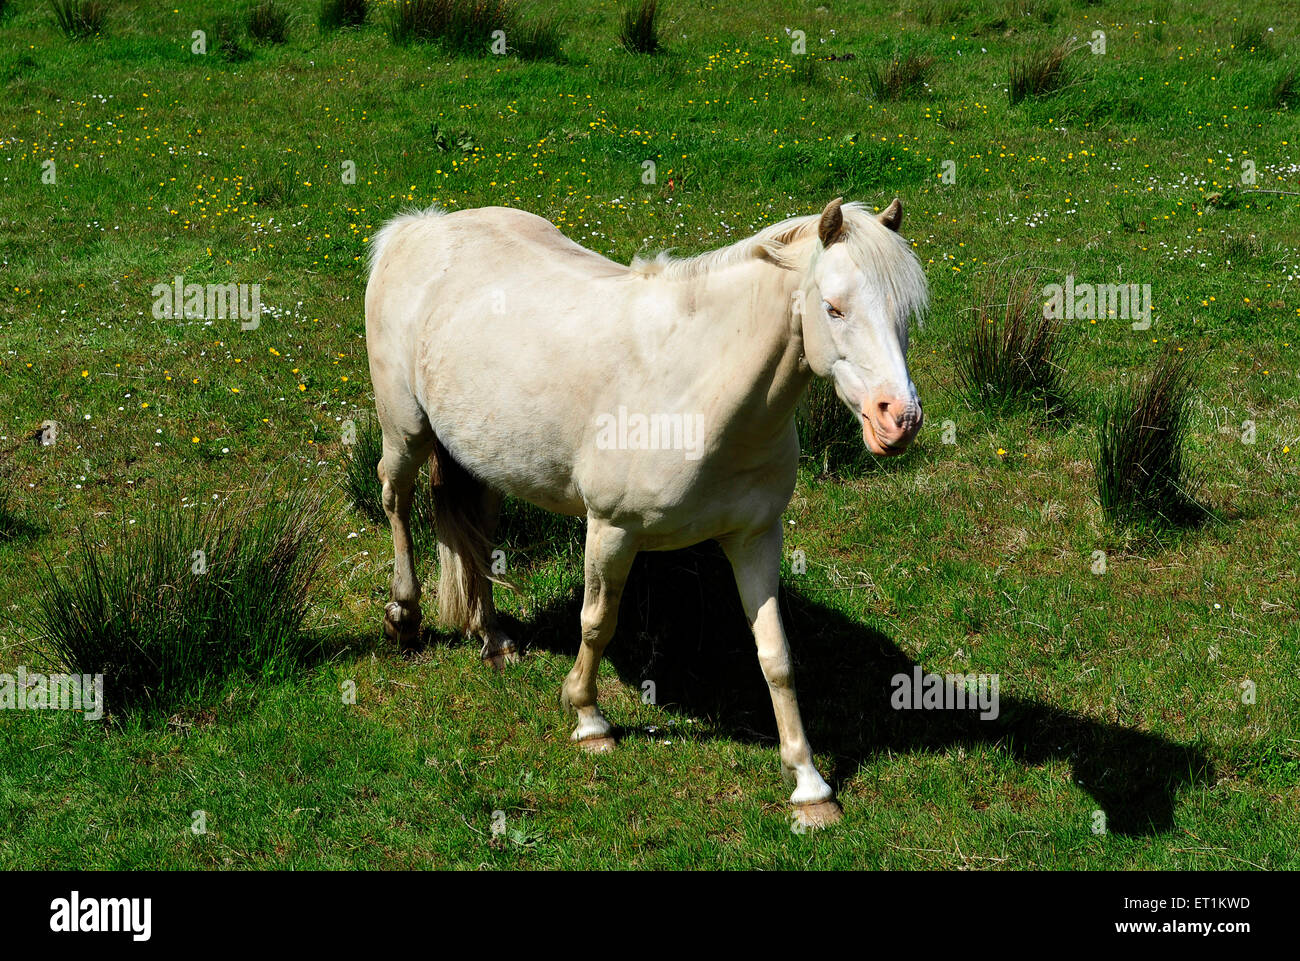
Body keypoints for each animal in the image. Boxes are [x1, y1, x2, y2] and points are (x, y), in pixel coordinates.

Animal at [364, 197, 928, 828]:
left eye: (905, 314)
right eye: (833, 308)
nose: (899, 419)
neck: (695, 390)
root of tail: (417, 228)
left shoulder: (756, 536)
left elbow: (775, 656)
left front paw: (809, 785)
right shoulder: (612, 530)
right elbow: (596, 623)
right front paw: (588, 719)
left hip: (484, 459)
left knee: (476, 537)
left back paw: (493, 637)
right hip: (405, 430)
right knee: (395, 500)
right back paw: (404, 616)